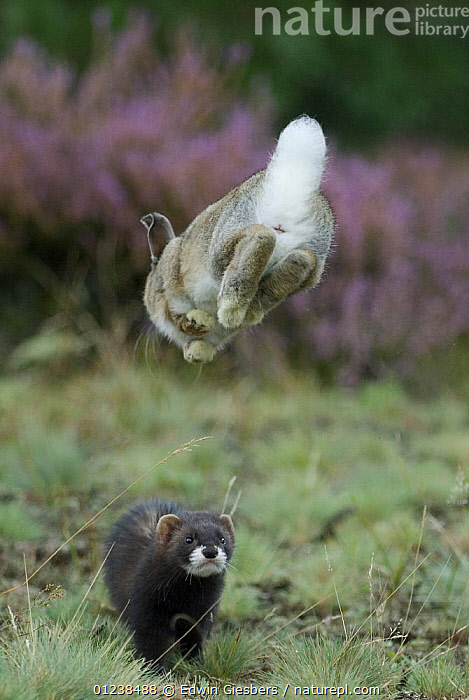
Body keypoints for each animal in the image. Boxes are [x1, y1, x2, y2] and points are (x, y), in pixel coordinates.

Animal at [142, 115, 334, 364]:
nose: (193, 358)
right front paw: (198, 350)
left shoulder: (172, 295)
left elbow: (181, 318)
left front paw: (198, 328)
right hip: (313, 267)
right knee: (301, 260)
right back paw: (248, 312)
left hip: (223, 245)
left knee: (260, 238)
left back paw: (230, 311)